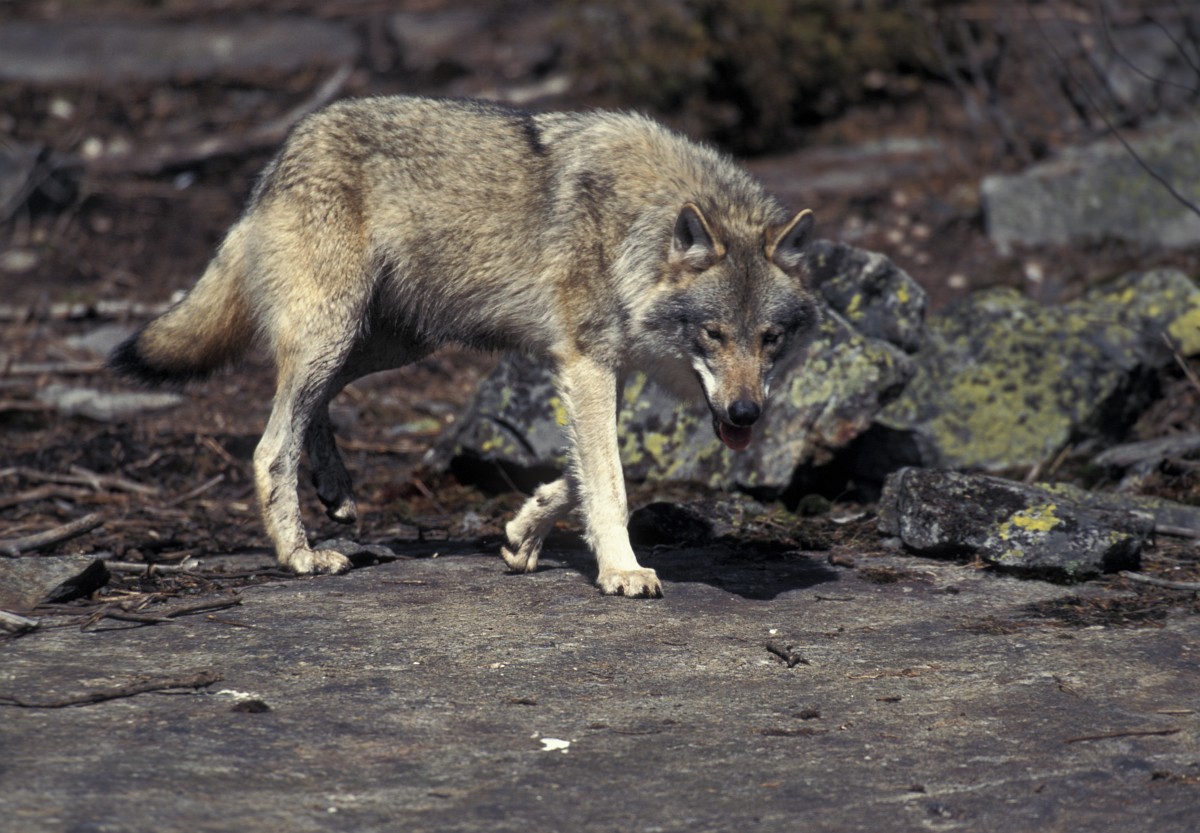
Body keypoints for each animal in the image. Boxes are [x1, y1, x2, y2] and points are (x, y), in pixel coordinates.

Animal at [109, 96, 820, 598]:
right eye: (713, 334)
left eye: (770, 339)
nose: (746, 414)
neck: (633, 231)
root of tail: (284, 151)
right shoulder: (588, 365)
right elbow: (611, 485)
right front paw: (622, 570)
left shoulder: (599, 373)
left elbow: (583, 474)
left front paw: (523, 534)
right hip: (337, 334)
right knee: (270, 446)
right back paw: (302, 556)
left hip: (383, 344)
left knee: (312, 407)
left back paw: (336, 489)